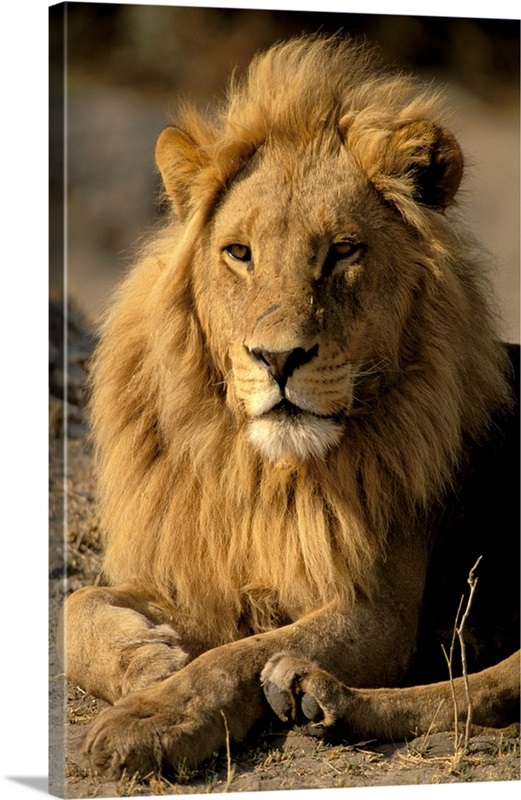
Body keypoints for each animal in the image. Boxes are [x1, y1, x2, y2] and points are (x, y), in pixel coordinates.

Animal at [60, 35, 520, 778]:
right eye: (239, 253)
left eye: (342, 252)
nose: (278, 360)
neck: (265, 475)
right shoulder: (201, 572)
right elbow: (75, 605)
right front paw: (149, 660)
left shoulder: (377, 612)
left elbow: (236, 655)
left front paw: (152, 718)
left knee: (492, 683)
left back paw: (316, 693)